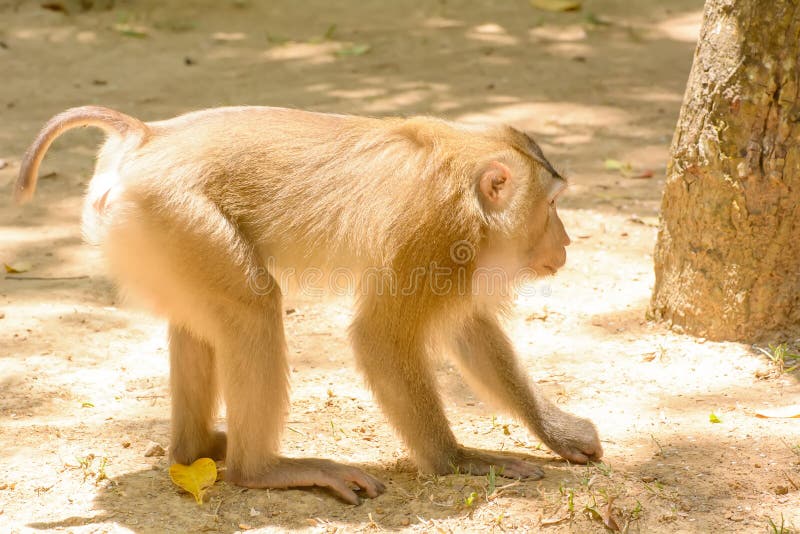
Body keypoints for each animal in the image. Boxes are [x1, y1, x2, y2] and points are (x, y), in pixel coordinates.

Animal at [15, 105, 602, 504]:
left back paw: (197, 449)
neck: (464, 180)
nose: (566, 241)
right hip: (170, 211)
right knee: (252, 308)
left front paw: (556, 432)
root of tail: (144, 136)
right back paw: (259, 470)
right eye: (552, 205)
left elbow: (466, 327)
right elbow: (381, 338)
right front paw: (459, 461)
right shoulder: (435, 230)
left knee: (199, 322)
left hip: (152, 233)